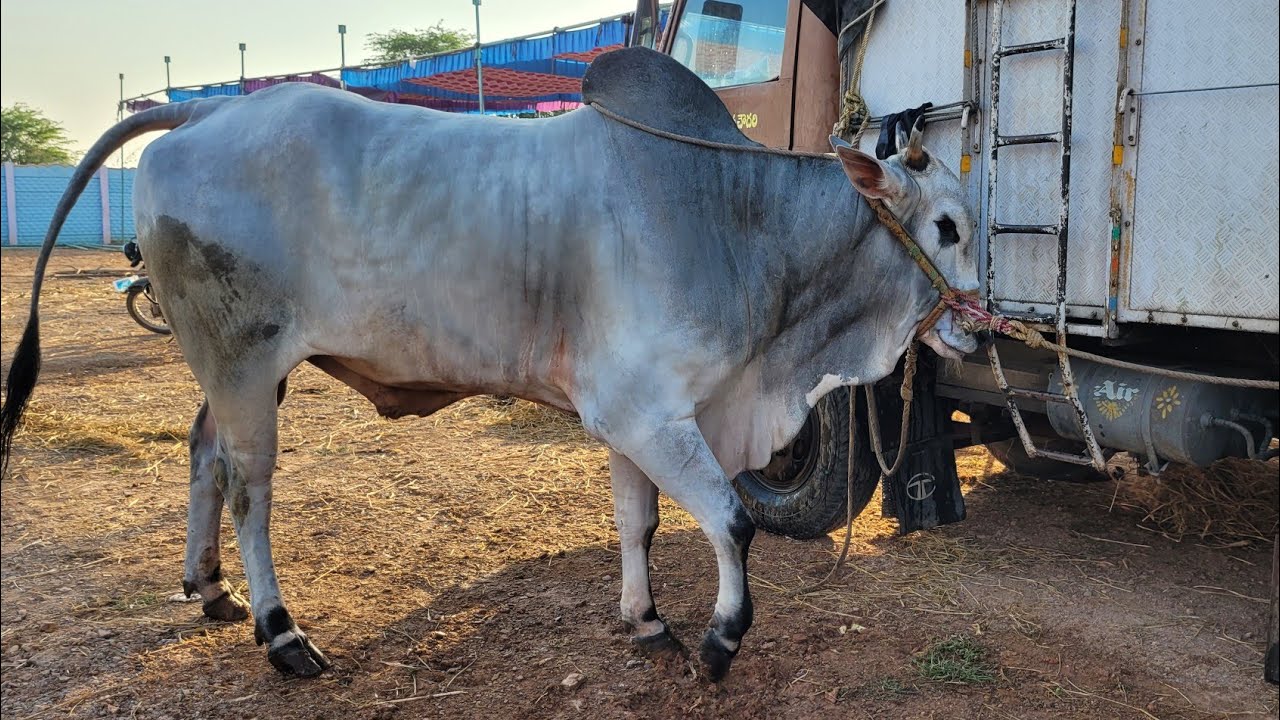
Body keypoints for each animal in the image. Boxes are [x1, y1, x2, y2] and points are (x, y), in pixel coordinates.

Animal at [0, 48, 979, 681]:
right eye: (948, 227)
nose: (982, 325)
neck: (732, 214)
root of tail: (205, 108)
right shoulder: (649, 413)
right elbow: (731, 524)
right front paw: (718, 644)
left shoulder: (637, 421)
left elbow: (639, 524)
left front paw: (647, 621)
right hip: (242, 363)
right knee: (248, 490)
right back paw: (283, 637)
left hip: (238, 367)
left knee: (203, 455)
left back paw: (209, 591)